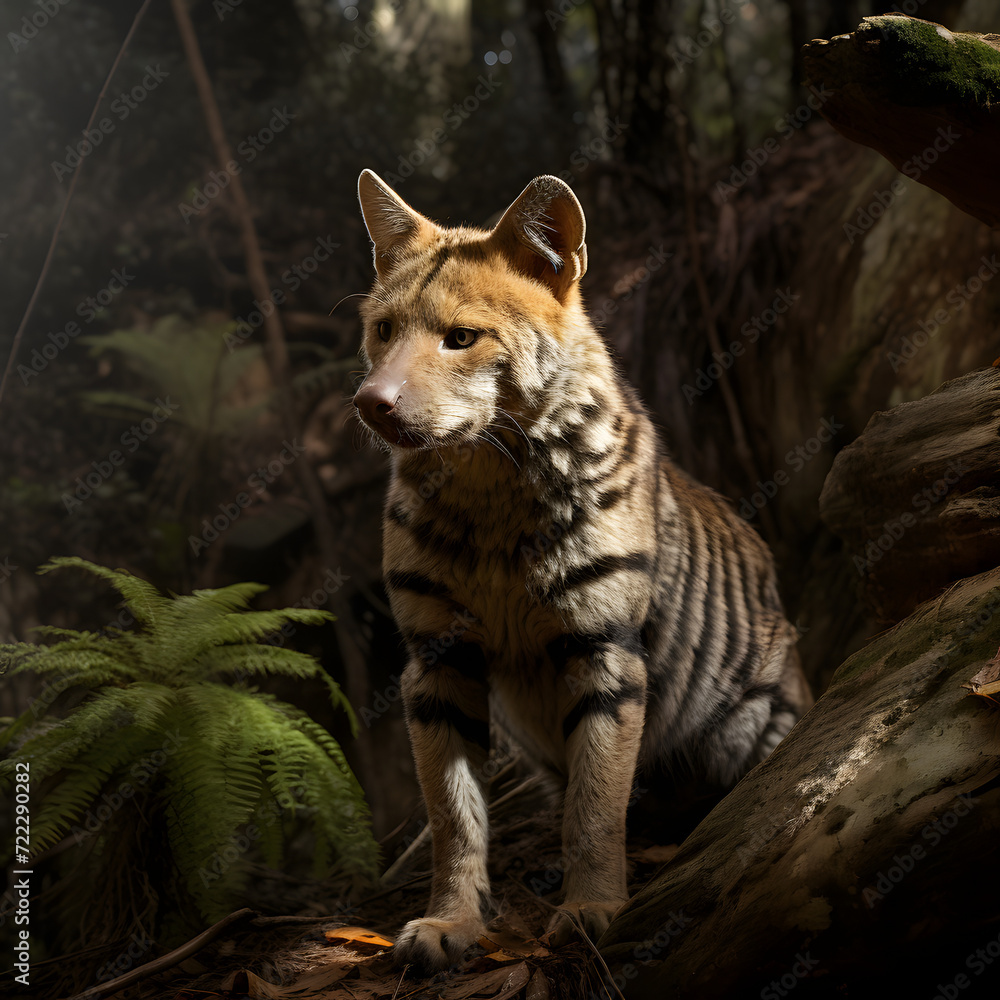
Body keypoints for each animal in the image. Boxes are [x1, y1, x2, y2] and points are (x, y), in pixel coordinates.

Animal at [352, 168, 813, 973]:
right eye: (383, 330)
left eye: (461, 337)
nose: (370, 403)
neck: (489, 492)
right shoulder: (437, 663)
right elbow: (454, 820)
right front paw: (450, 923)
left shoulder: (602, 651)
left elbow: (594, 810)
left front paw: (594, 911)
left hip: (752, 722)